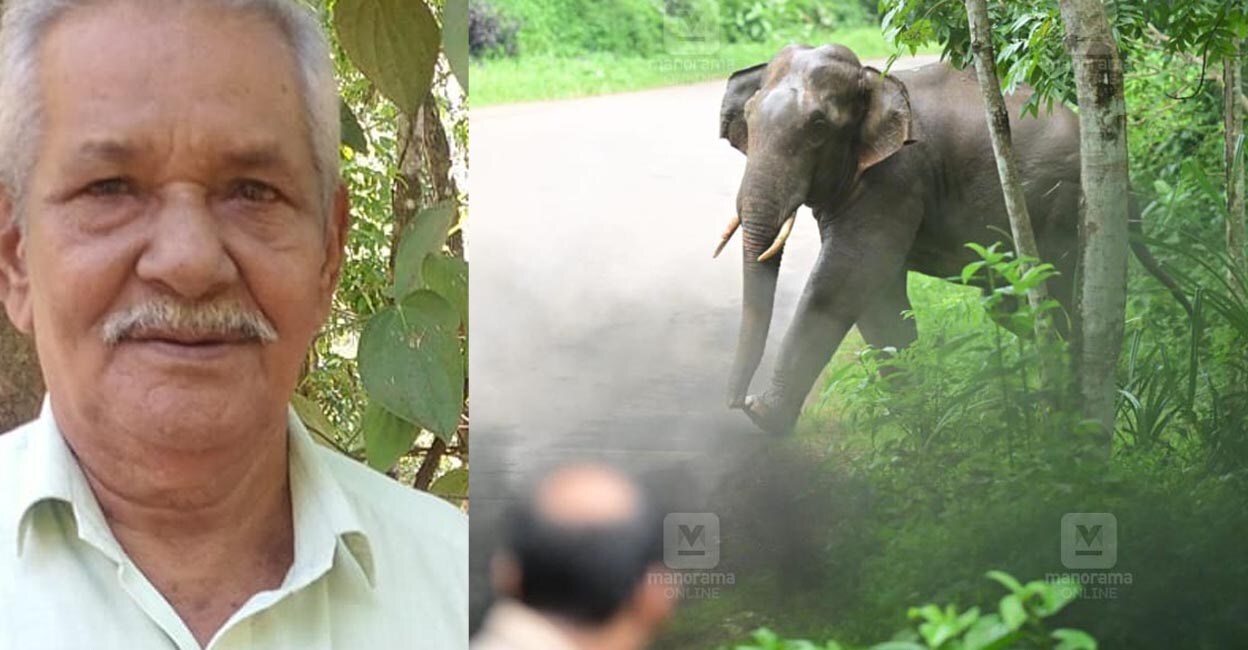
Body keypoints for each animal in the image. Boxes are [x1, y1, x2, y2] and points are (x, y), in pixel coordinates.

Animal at [716, 43, 1190, 435]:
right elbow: (877, 297)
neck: (874, 79)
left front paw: (765, 417)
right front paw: (917, 417)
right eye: (750, 118)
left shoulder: (894, 179)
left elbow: (843, 280)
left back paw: (1069, 407)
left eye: (817, 126)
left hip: (1063, 201)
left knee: (1059, 296)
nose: (736, 402)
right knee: (1010, 306)